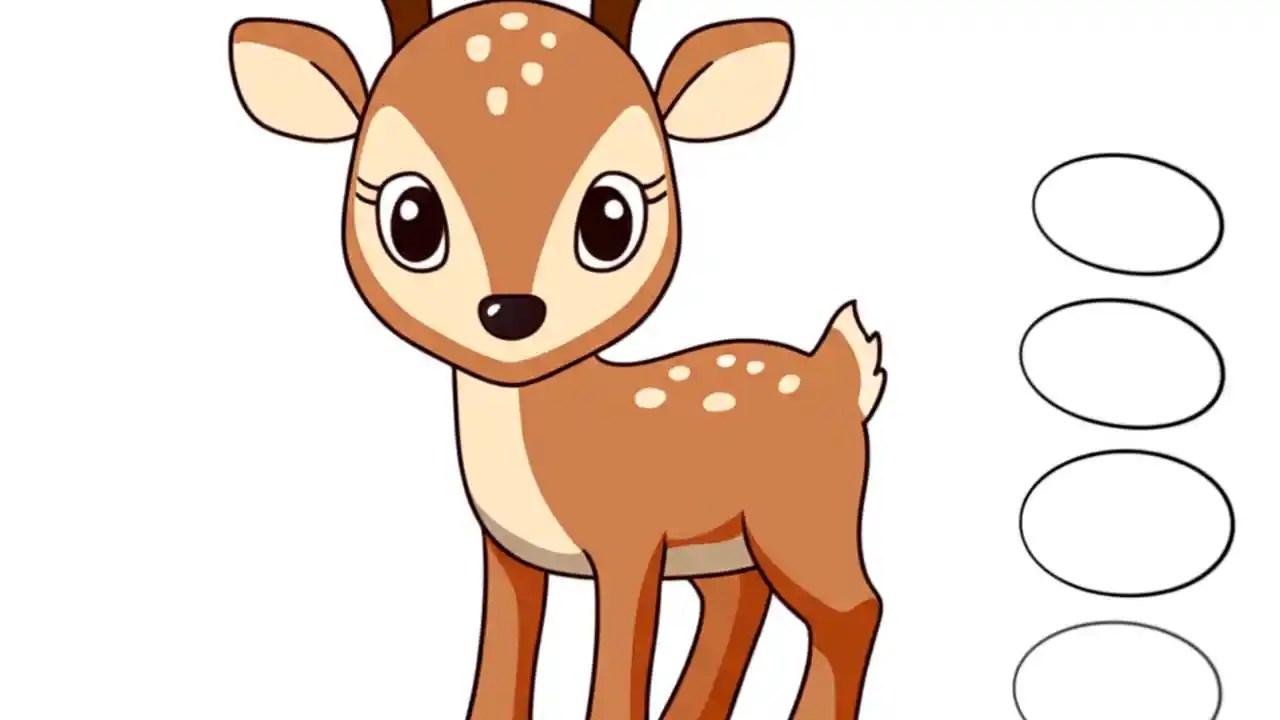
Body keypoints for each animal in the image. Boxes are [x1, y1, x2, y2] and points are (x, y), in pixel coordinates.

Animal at [227, 1, 886, 717]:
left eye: (610, 218)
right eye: (412, 218)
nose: (511, 313)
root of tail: (840, 370)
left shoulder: (630, 541)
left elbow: (618, 672)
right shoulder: (507, 550)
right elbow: (501, 656)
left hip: (806, 515)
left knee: (854, 608)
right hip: (728, 540)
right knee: (740, 596)